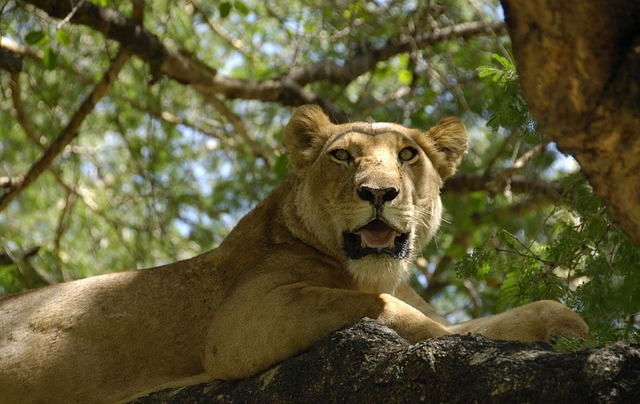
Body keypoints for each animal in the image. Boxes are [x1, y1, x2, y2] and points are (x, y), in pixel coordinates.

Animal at [0, 105, 588, 403]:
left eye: (407, 155)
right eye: (343, 157)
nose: (378, 193)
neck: (374, 273)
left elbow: (472, 324)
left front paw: (564, 325)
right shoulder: (240, 325)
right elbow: (401, 316)